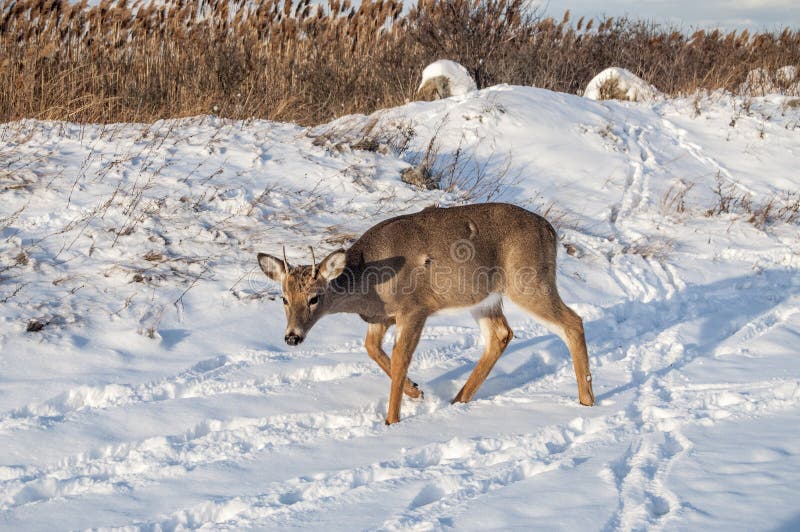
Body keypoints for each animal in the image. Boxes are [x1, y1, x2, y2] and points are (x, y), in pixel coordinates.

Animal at [257, 203, 594, 425]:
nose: (292, 337)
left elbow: (400, 358)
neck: (368, 285)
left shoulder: (415, 308)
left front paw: (392, 421)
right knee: (501, 334)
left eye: (314, 298)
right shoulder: (381, 318)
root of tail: (551, 231)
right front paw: (416, 391)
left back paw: (587, 401)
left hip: (529, 281)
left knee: (573, 322)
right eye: (283, 298)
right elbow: (372, 349)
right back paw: (458, 400)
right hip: (484, 299)